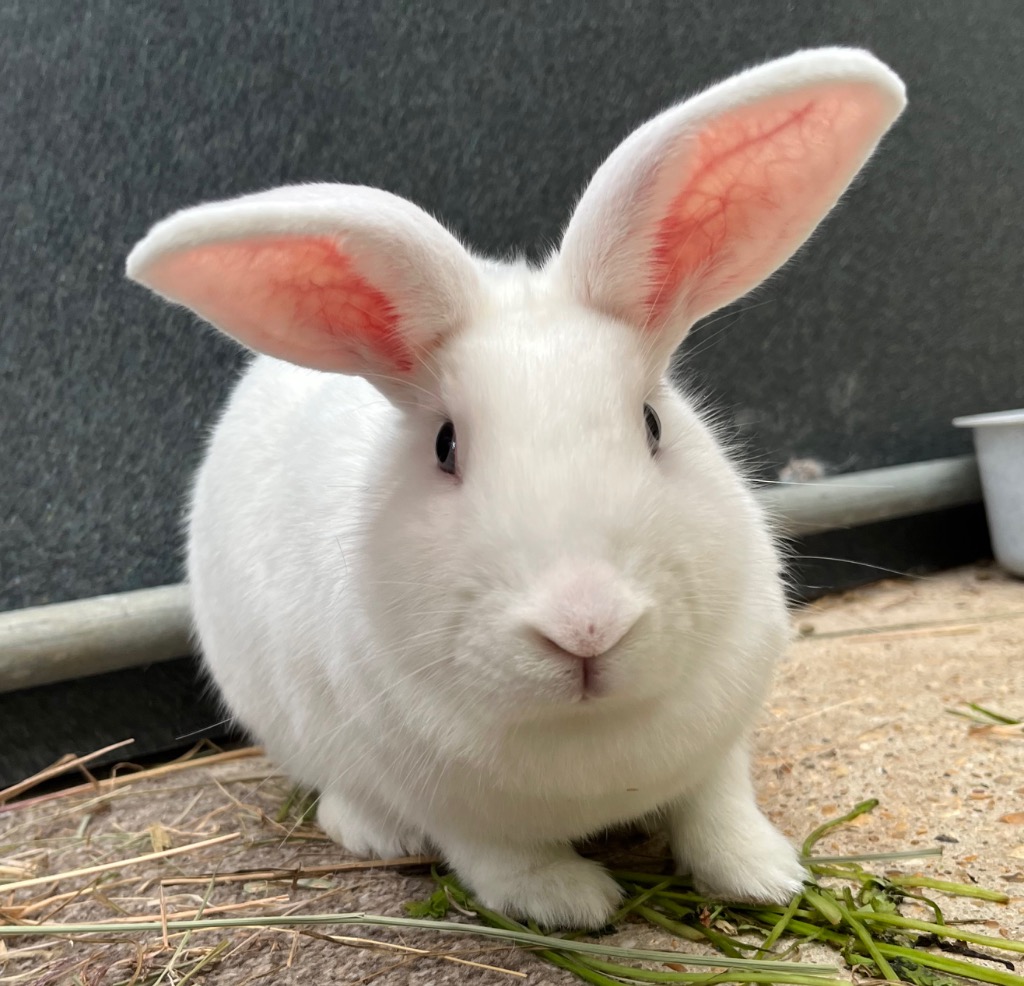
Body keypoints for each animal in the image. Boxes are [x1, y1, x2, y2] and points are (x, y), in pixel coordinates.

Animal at [126, 48, 906, 928]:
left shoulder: (720, 746)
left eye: (652, 423)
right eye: (444, 445)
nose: (586, 625)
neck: (589, 736)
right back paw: (372, 831)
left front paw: (767, 876)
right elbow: (500, 861)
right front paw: (573, 904)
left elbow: (717, 809)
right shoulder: (455, 811)